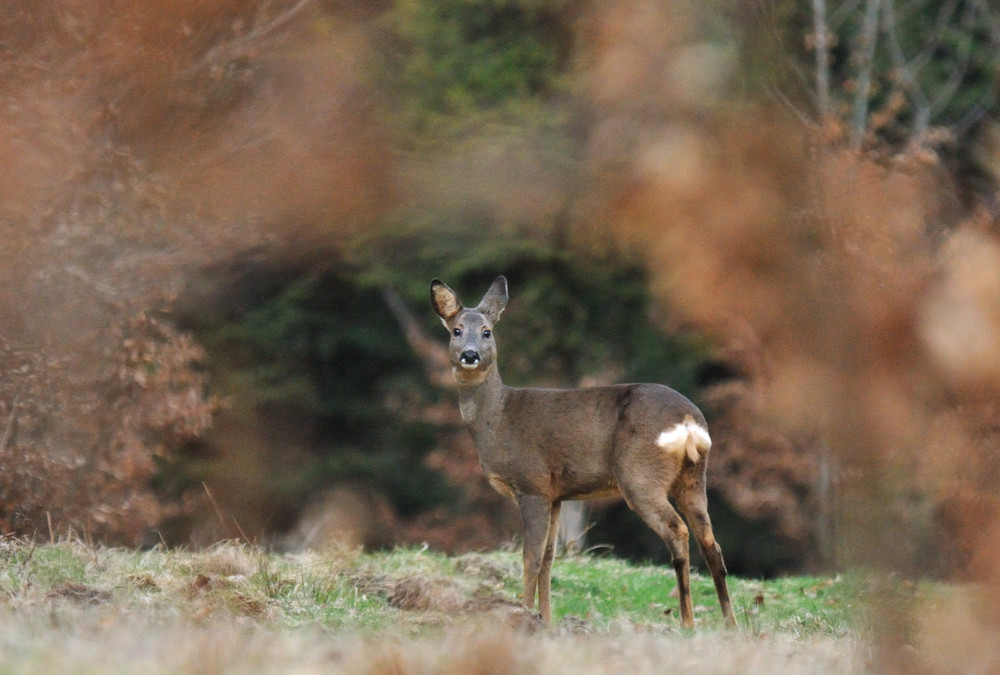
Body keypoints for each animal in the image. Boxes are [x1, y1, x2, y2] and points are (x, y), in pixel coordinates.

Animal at [434, 274, 740, 628]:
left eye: (487, 331)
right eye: (456, 330)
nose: (470, 355)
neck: (496, 418)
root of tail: (689, 422)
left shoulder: (531, 483)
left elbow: (531, 556)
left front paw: (523, 614)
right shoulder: (556, 495)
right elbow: (549, 557)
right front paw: (546, 618)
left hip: (640, 475)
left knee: (677, 530)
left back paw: (687, 621)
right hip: (693, 477)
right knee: (711, 541)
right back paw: (730, 623)